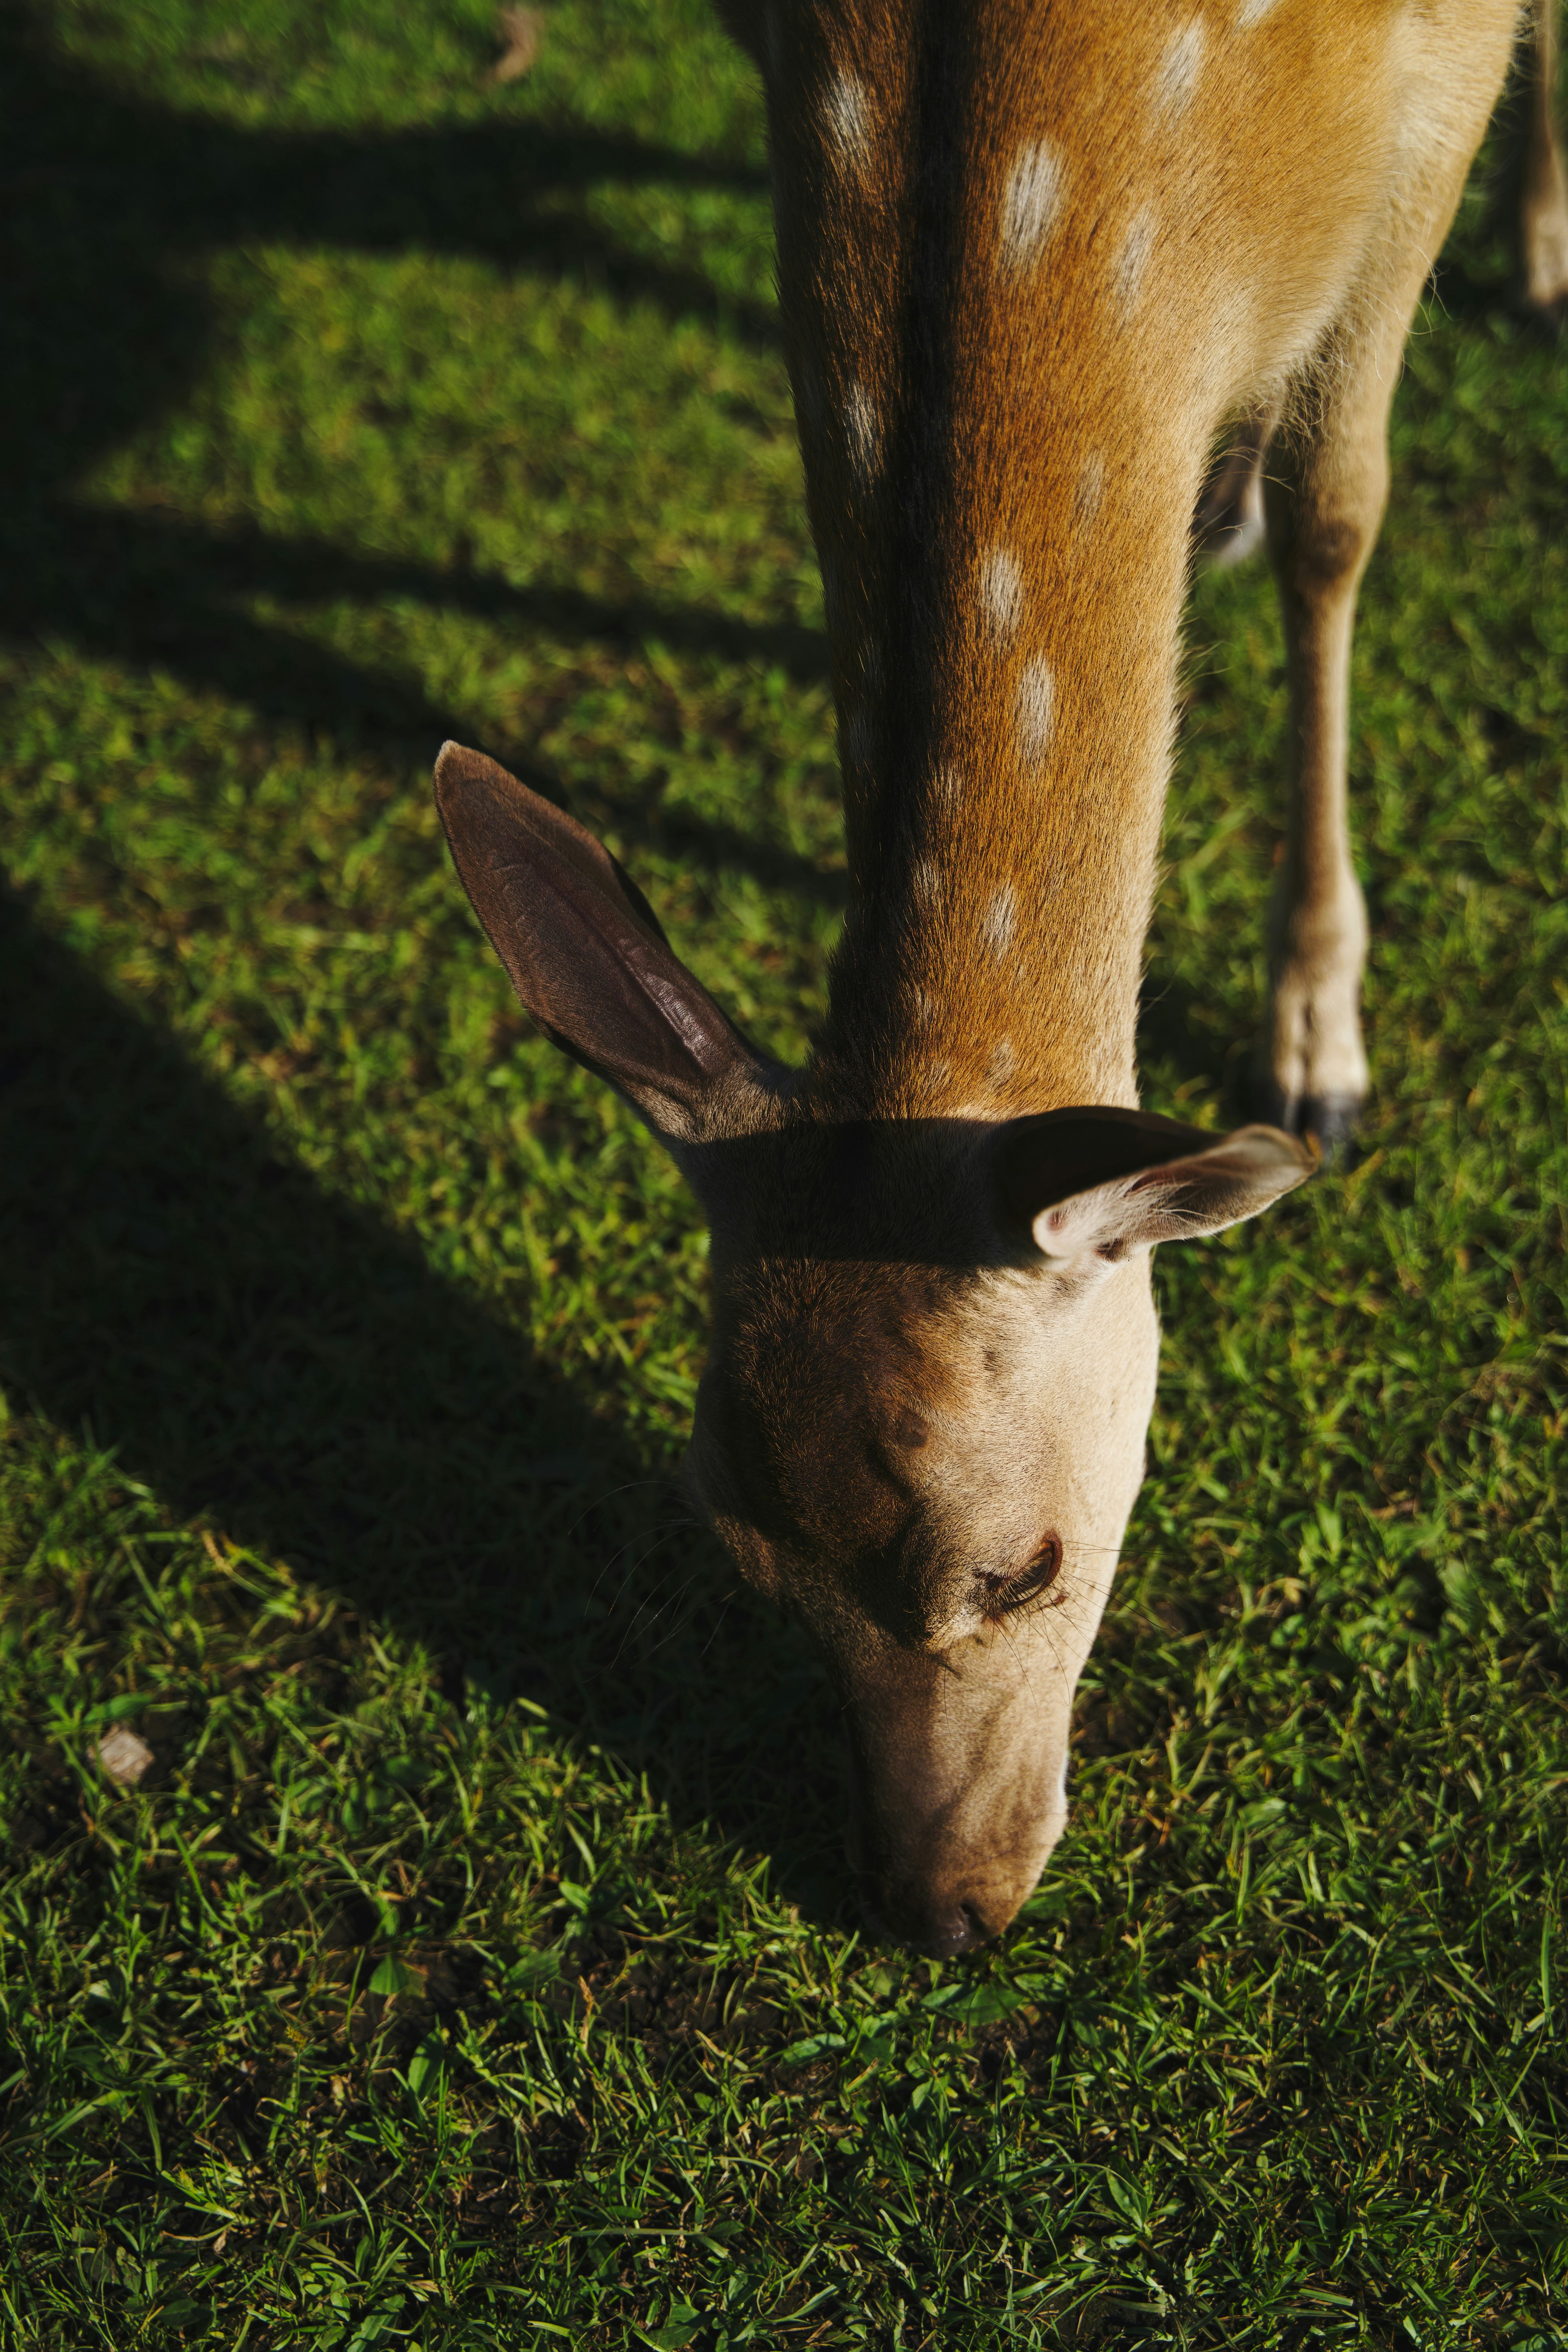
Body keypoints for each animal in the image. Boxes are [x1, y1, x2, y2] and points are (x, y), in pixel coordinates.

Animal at [434, 1, 1566, 1956]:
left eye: (1024, 1565)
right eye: (740, 1541)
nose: (941, 1906)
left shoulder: (1438, 89)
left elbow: (1343, 514)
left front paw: (1317, 1037)